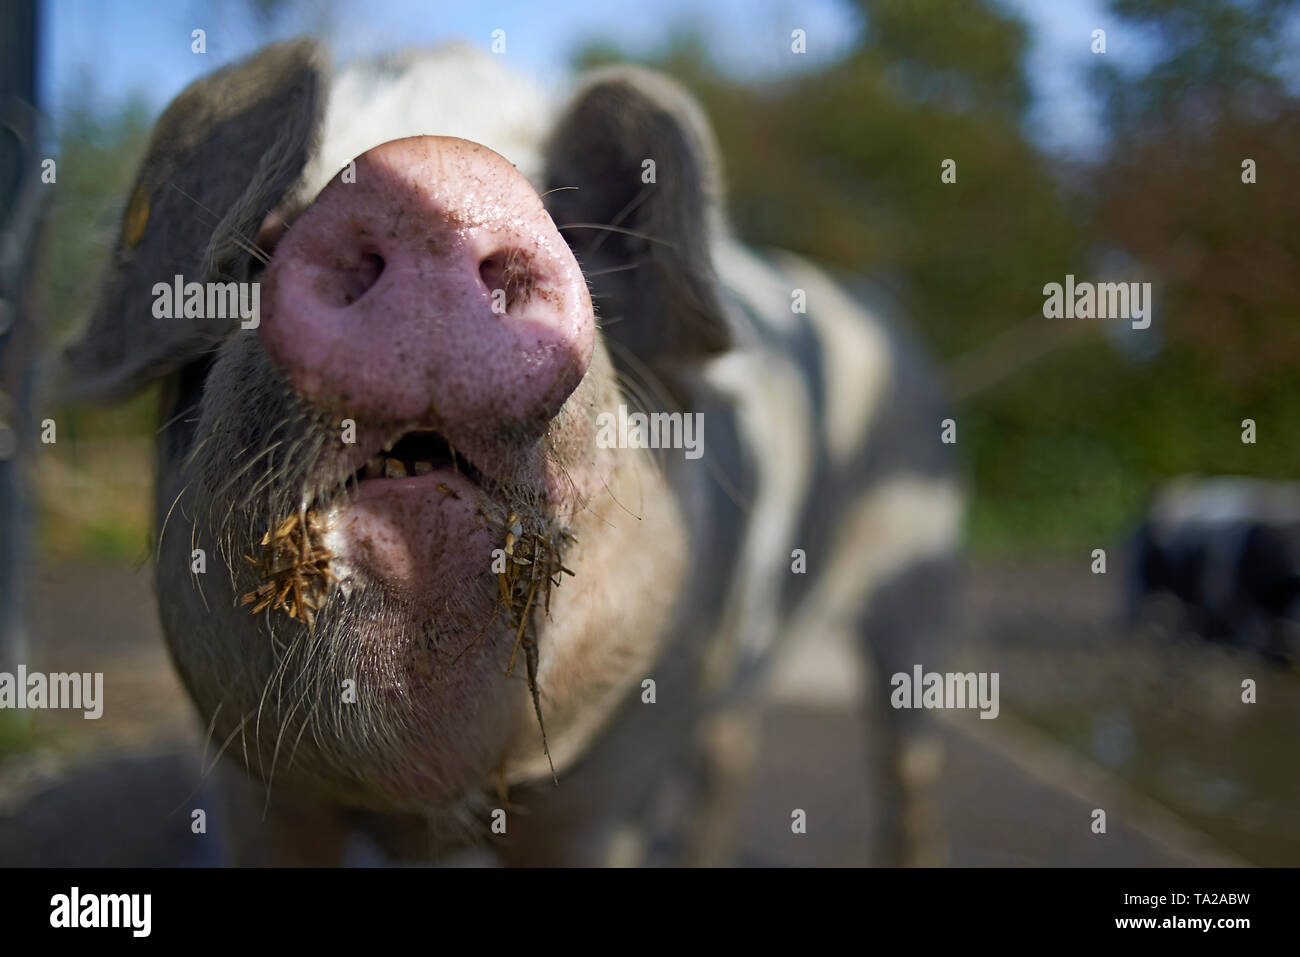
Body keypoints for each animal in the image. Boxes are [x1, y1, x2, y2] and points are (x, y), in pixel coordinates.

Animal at [62, 39, 964, 865]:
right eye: (265, 238)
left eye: (576, 234)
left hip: (922, 569)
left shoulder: (614, 791)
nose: (434, 169)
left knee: (908, 757)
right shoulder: (249, 786)